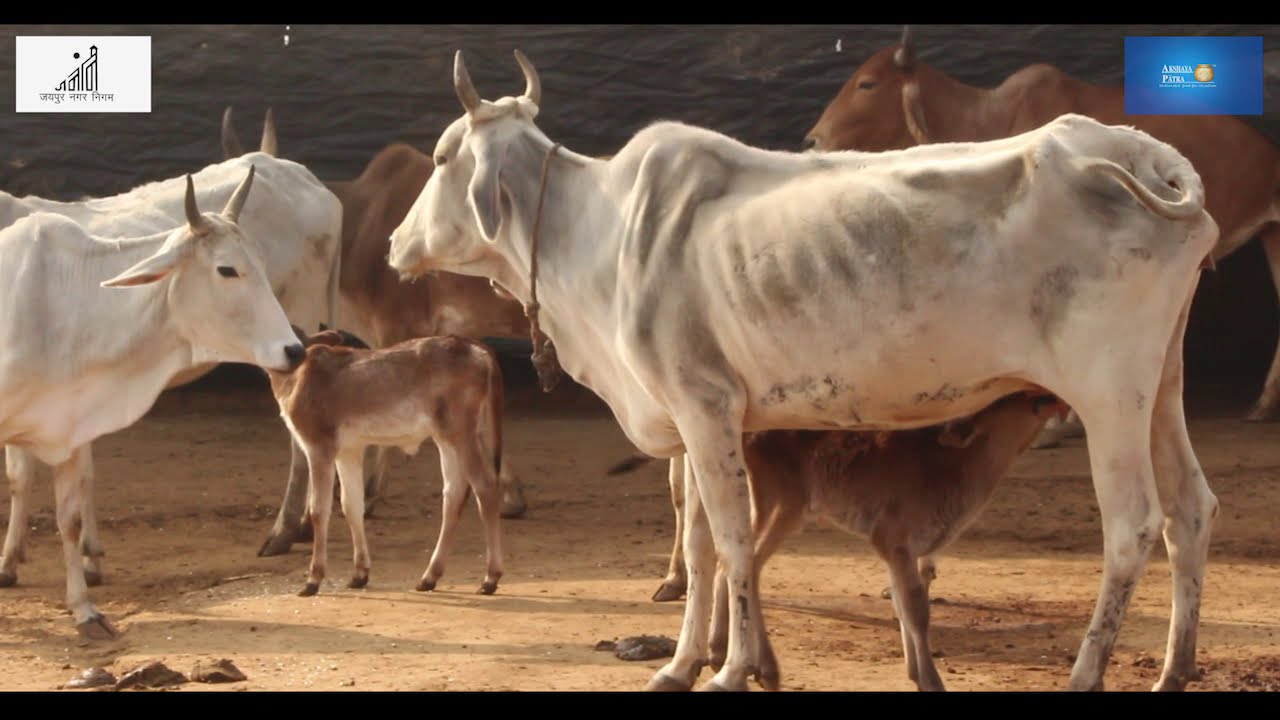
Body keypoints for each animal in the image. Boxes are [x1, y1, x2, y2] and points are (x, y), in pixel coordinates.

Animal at [265, 326, 507, 598]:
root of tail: (474, 346)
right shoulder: (349, 450)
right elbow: (351, 505)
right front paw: (359, 574)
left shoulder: (318, 446)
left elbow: (319, 509)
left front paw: (313, 580)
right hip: (447, 438)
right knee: (454, 495)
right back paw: (429, 577)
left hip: (462, 432)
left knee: (485, 487)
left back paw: (490, 578)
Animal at [387, 51, 1218, 692]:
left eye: (440, 157)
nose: (396, 242)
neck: (597, 234)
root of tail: (1140, 152)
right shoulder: (693, 420)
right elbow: (698, 546)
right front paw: (682, 664)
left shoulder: (705, 405)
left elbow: (731, 542)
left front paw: (731, 669)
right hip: (1162, 385)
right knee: (1190, 508)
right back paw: (1173, 670)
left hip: (1108, 391)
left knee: (1132, 524)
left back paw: (1088, 672)